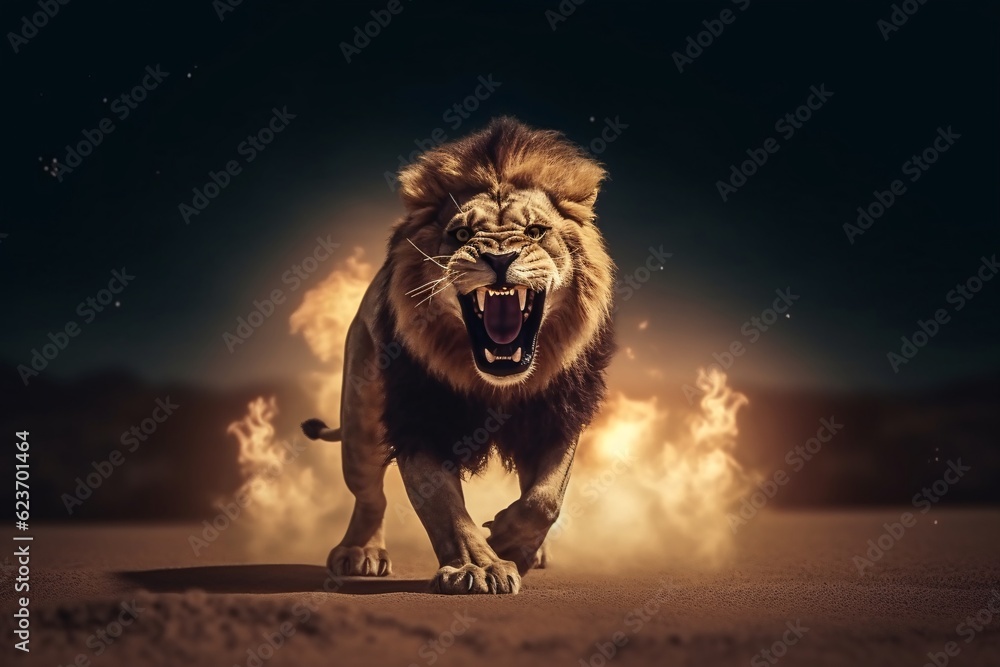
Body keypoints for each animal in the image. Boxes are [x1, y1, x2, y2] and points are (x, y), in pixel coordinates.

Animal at [301, 116, 616, 594]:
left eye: (536, 233)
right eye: (462, 235)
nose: (500, 257)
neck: (496, 382)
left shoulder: (557, 413)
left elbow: (545, 498)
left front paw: (508, 543)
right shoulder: (418, 418)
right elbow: (444, 507)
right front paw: (480, 565)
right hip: (361, 421)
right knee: (369, 493)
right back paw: (360, 552)